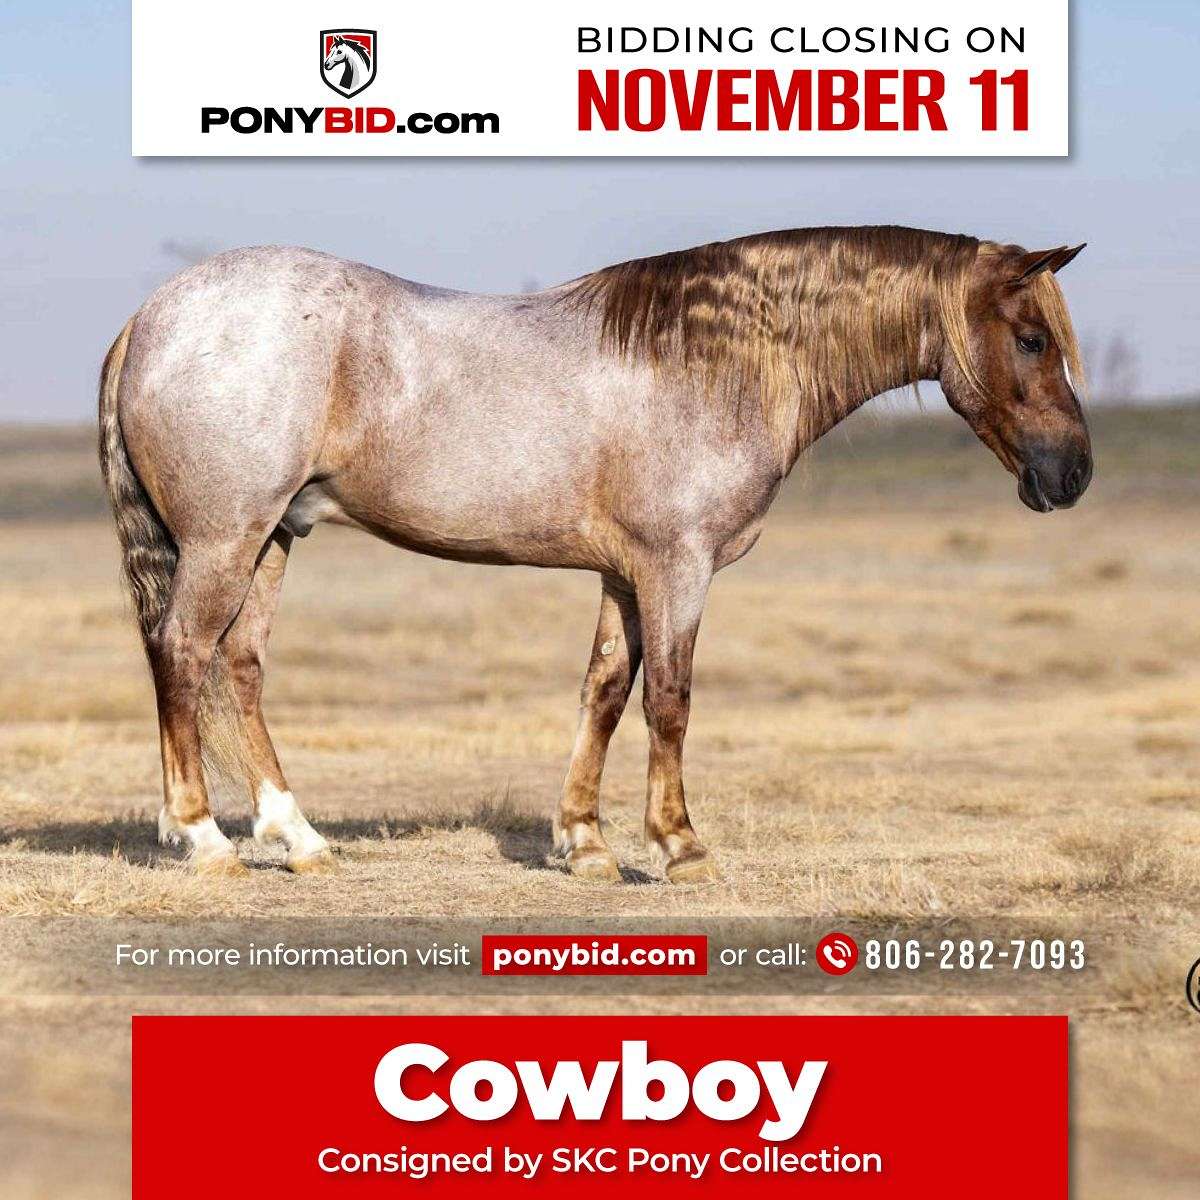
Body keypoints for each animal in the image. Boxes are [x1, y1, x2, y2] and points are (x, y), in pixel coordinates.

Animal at [97, 226, 1091, 883]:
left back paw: (297, 838)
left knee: (238, 667)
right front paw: (681, 847)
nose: (1073, 473)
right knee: (182, 653)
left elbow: (605, 693)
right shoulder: (677, 568)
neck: (714, 360)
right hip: (226, 538)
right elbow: (670, 702)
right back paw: (204, 838)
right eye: (1031, 338)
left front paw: (585, 843)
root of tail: (150, 315)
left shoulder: (623, 574)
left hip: (271, 537)